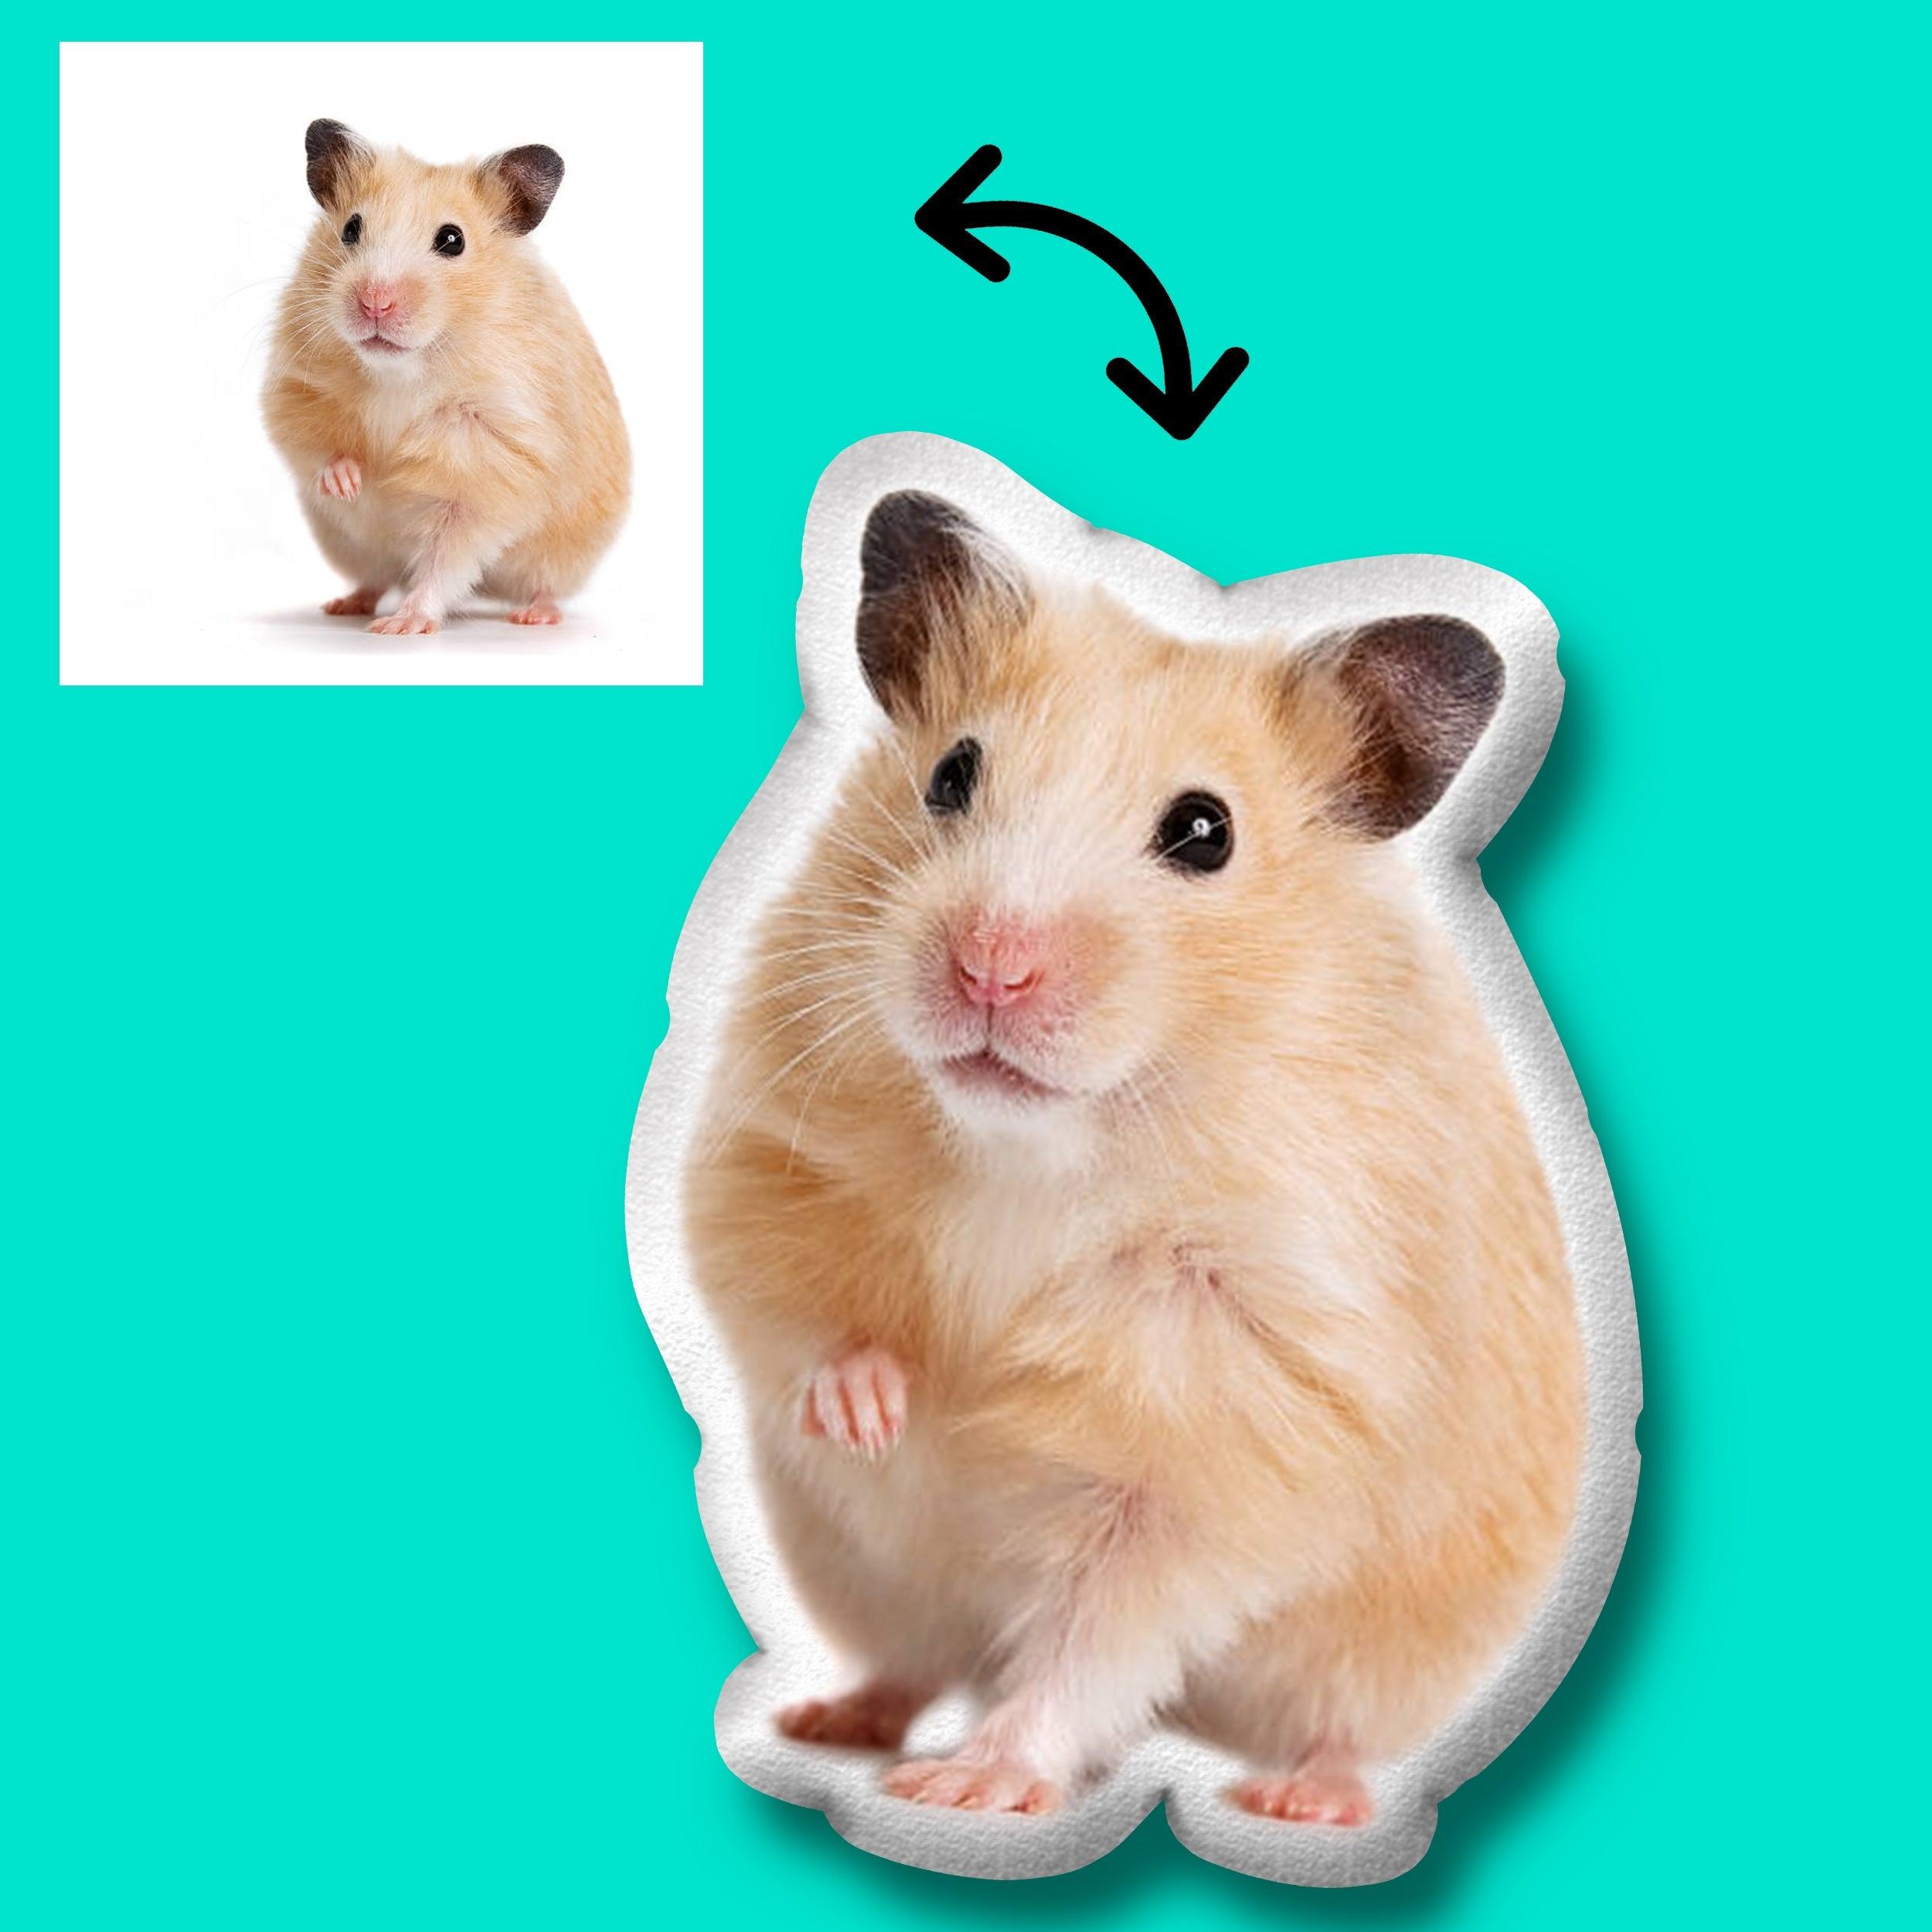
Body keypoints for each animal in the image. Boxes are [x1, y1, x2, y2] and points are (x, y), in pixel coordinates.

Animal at [261, 120, 629, 635]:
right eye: (351, 228)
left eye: (453, 240)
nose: (375, 303)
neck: (401, 371)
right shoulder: (295, 386)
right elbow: (314, 446)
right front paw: (350, 483)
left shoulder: (489, 466)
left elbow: (446, 558)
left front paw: (402, 626)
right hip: (351, 545)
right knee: (376, 578)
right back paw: (344, 605)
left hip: (564, 553)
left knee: (543, 585)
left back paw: (533, 616)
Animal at [684, 492, 1584, 1825]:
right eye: (951, 773)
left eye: (1205, 833)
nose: (990, 969)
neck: (1038, 1149)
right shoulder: (764, 1148)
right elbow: (792, 1304)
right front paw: (876, 1416)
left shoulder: (1236, 1414)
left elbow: (1097, 1629)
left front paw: (972, 1789)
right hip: (862, 1575)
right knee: (911, 1658)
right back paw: (830, 1721)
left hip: (1397, 1650)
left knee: (1334, 1726)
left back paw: (1302, 1802)